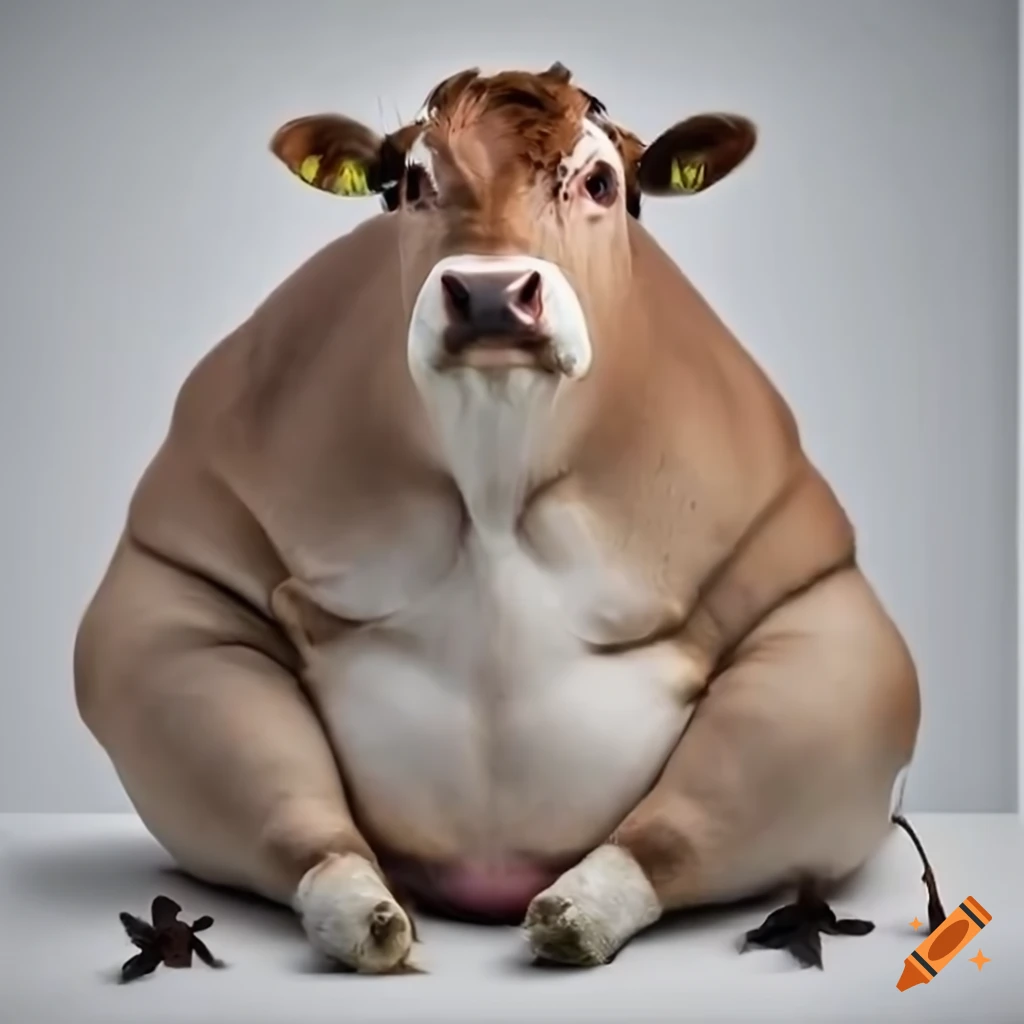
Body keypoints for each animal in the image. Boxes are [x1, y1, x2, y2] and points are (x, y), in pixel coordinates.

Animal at [74, 61, 933, 976]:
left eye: (600, 181)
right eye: (413, 183)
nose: (489, 294)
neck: (493, 484)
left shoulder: (822, 601)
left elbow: (687, 820)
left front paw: (582, 913)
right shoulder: (174, 571)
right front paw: (364, 912)